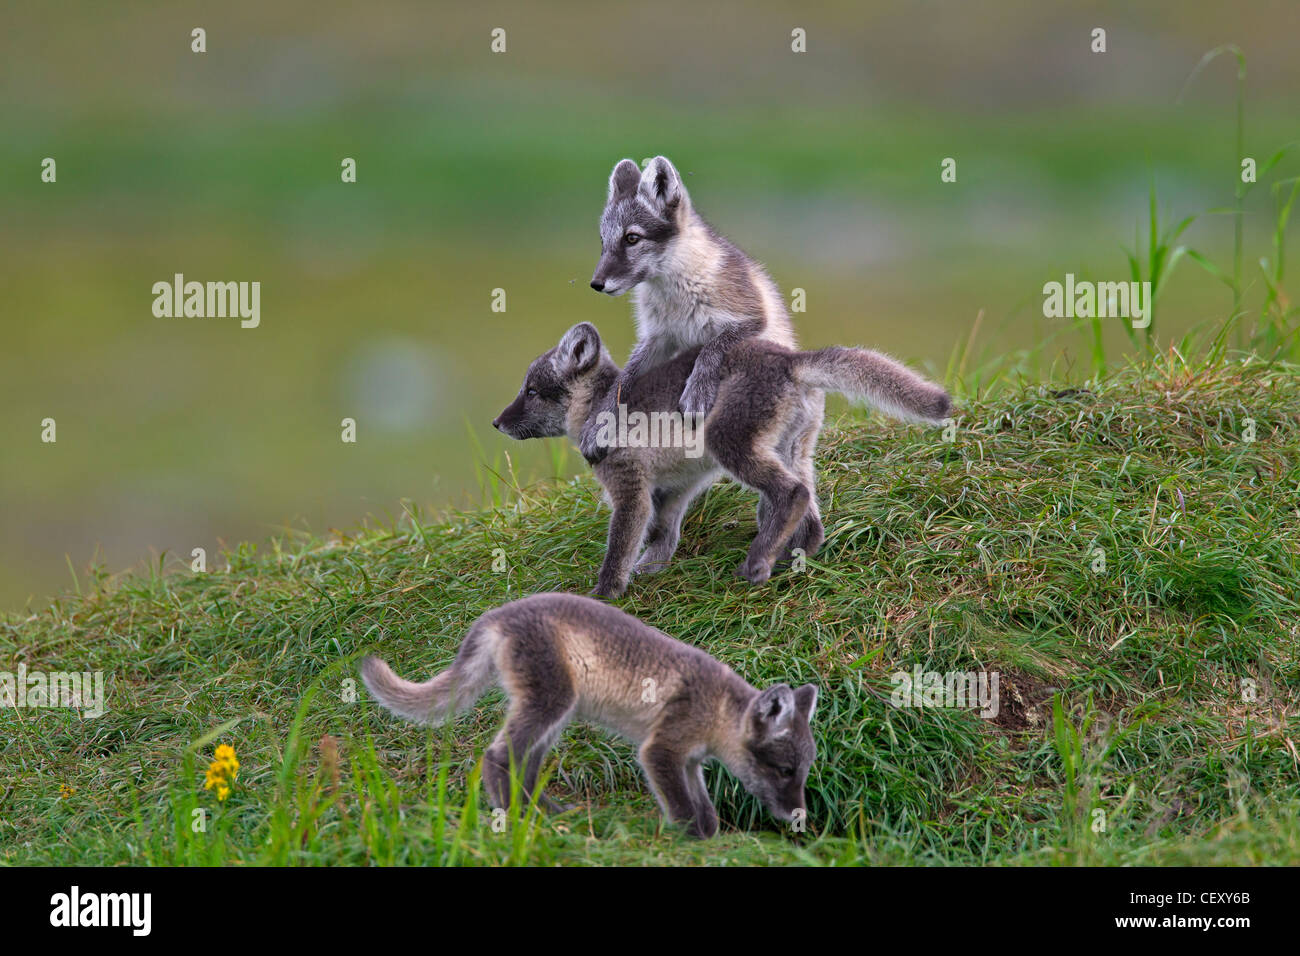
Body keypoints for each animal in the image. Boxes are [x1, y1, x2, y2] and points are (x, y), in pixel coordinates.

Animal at [360, 592, 818, 839]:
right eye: (784, 770)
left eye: (803, 772)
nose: (800, 816)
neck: (719, 708)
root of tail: (495, 616)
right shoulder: (660, 750)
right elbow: (684, 810)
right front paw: (692, 842)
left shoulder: (688, 761)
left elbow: (705, 810)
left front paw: (708, 836)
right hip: (550, 703)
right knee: (497, 757)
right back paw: (515, 817)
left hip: (552, 715)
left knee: (525, 765)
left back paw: (546, 814)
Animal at [493, 321, 950, 598]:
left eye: (531, 391)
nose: (497, 422)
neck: (596, 406)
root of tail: (789, 359)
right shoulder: (675, 487)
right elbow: (663, 535)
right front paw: (650, 571)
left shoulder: (629, 484)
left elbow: (621, 544)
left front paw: (605, 595)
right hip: (794, 448)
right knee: (812, 515)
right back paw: (794, 557)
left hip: (728, 440)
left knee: (793, 493)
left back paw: (759, 562)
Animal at [581, 155, 796, 463]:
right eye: (602, 241)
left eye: (632, 238)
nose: (596, 284)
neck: (675, 296)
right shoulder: (658, 337)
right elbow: (624, 379)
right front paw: (599, 423)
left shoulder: (754, 318)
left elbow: (711, 348)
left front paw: (697, 392)